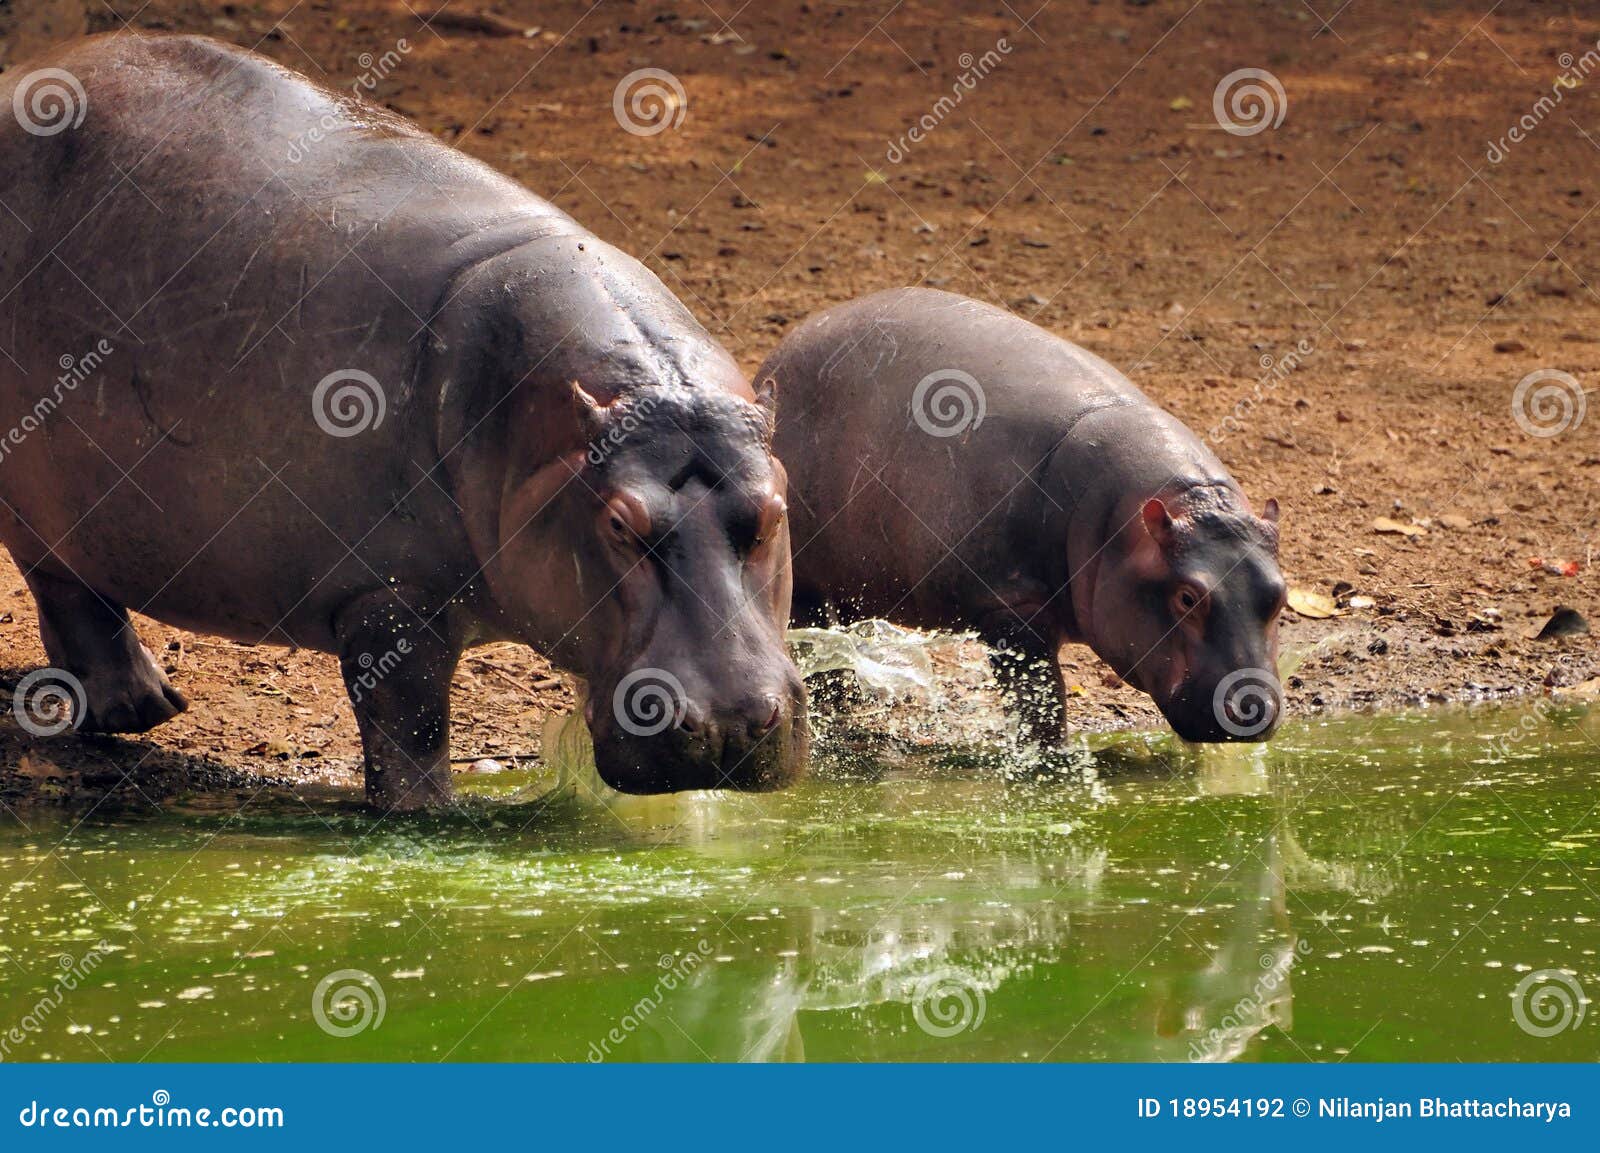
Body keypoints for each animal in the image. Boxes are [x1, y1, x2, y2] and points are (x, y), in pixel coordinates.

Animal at [0, 34, 806, 808]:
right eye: (617, 522)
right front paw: (429, 817)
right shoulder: (388, 595)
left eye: (774, 510)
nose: (731, 723)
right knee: (65, 590)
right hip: (35, 497)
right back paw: (136, 707)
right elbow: (410, 728)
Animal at [760, 288, 1286, 744]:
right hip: (808, 575)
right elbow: (1040, 695)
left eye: (1279, 595)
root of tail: (785, 346)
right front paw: (1053, 759)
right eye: (1187, 597)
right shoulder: (1010, 606)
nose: (1252, 707)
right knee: (816, 636)